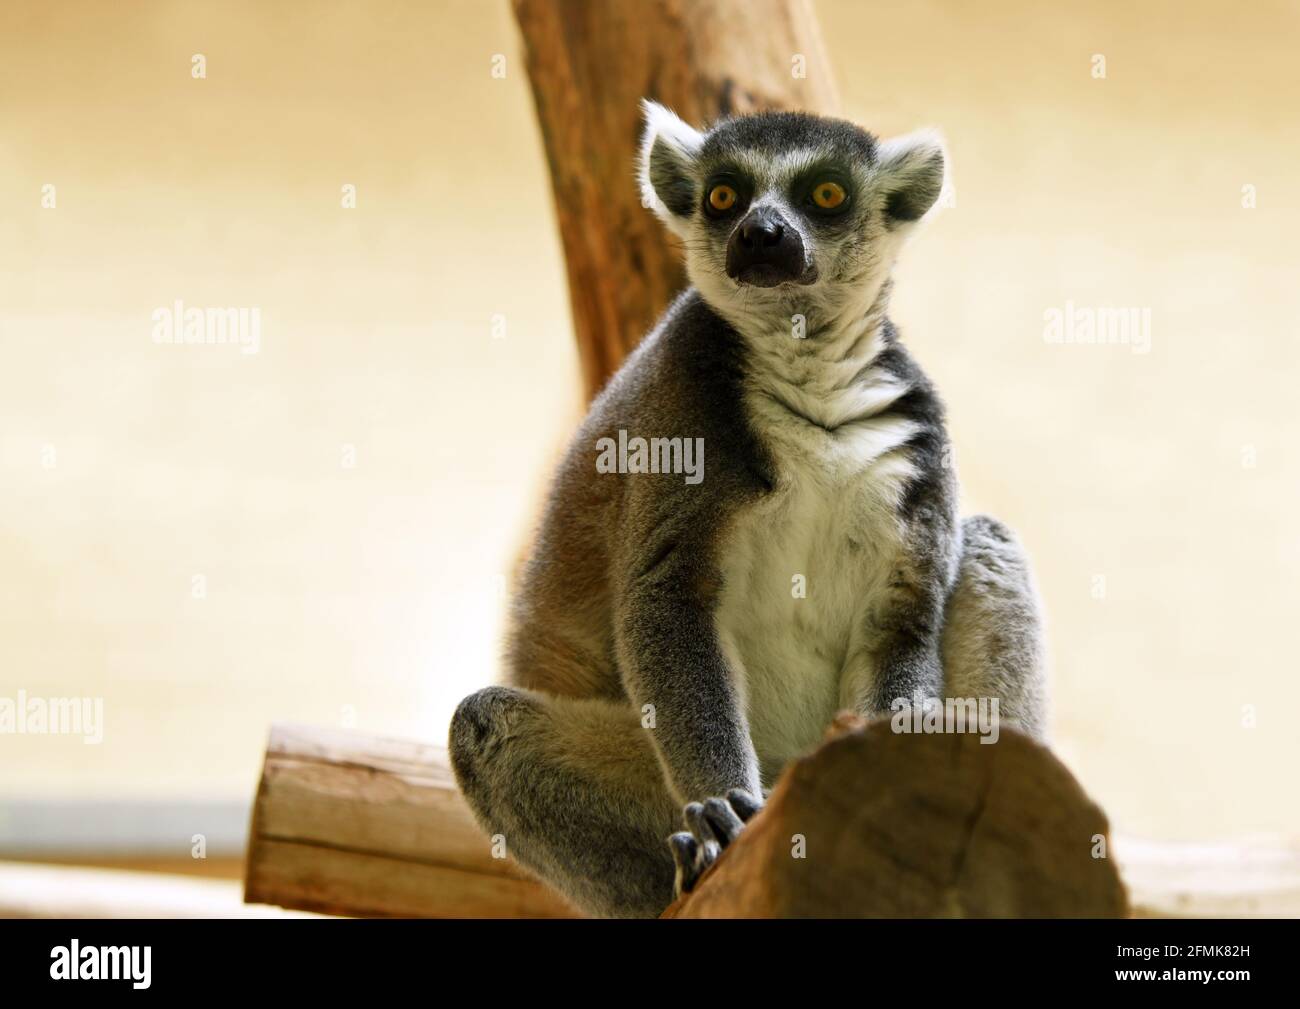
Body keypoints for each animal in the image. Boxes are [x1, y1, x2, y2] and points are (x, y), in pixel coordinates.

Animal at [449, 101, 1047, 918]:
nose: (761, 233)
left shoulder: (919, 451)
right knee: (482, 727)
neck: (808, 370)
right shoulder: (679, 416)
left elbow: (900, 621)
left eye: (825, 194)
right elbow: (667, 600)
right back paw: (682, 868)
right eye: (724, 197)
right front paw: (717, 810)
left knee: (983, 539)